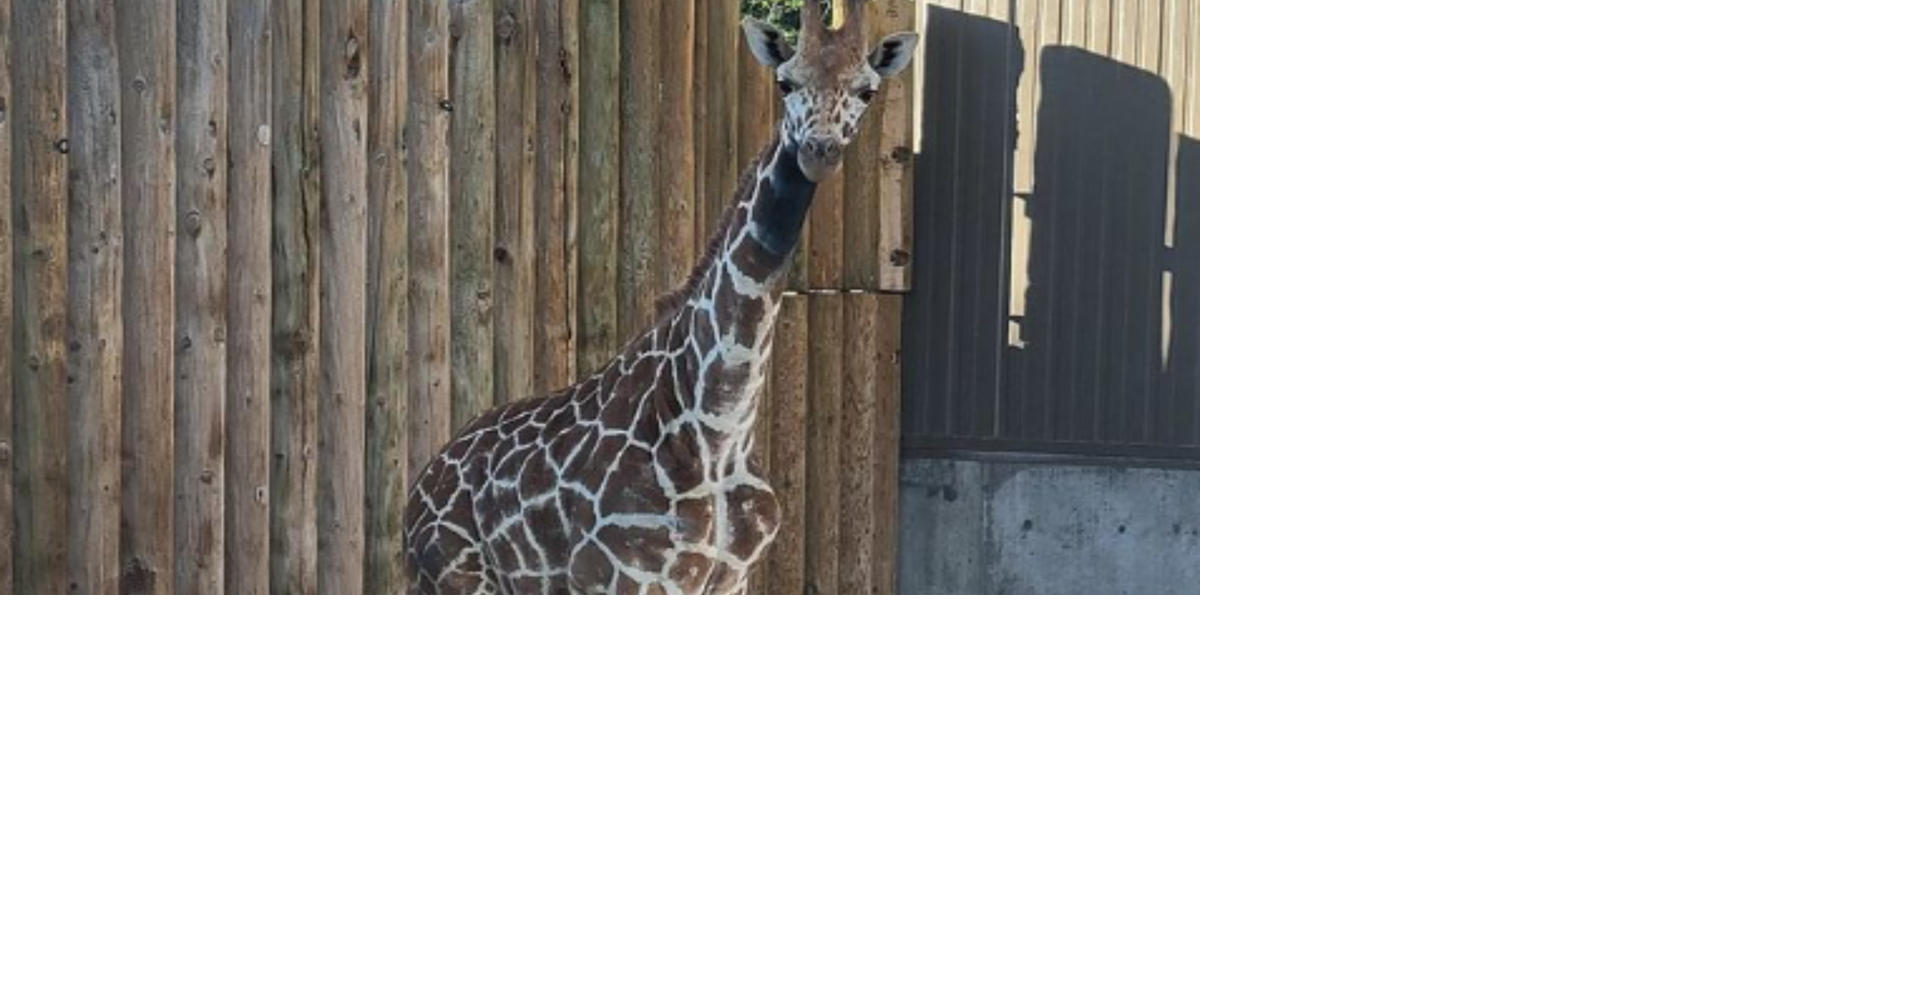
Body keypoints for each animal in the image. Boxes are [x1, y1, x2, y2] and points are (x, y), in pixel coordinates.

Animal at [404, 0, 918, 595]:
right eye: (785, 81)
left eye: (867, 90)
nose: (820, 150)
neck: (719, 429)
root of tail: (416, 494)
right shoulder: (627, 577)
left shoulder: (731, 579)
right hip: (455, 581)